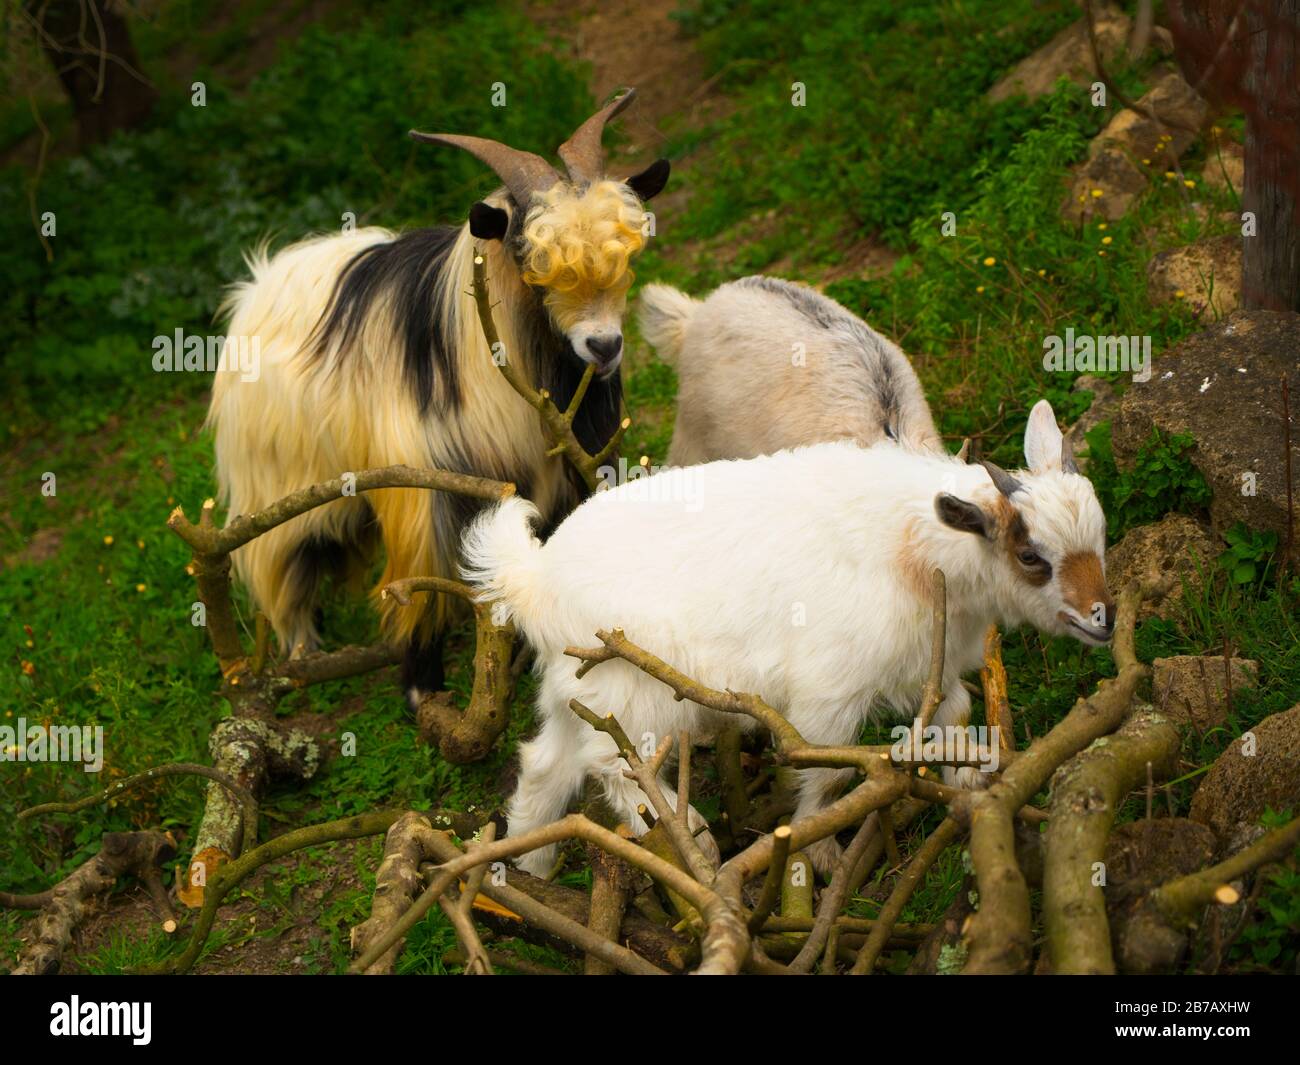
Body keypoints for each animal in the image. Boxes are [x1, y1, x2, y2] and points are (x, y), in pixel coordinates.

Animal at [206, 91, 670, 711]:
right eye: (532, 261)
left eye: (626, 256)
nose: (604, 346)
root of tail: (257, 285)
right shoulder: (422, 484)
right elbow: (419, 580)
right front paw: (421, 686)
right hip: (278, 481)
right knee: (283, 565)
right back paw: (302, 653)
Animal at [462, 400, 1113, 875]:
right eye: (1032, 557)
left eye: (1100, 536)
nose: (1102, 618)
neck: (915, 550)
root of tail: (536, 579)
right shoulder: (831, 693)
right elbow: (828, 773)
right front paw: (818, 853)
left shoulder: (918, 667)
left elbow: (954, 709)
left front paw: (969, 779)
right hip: (631, 692)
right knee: (617, 765)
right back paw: (692, 838)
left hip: (576, 694)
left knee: (545, 764)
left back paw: (525, 870)